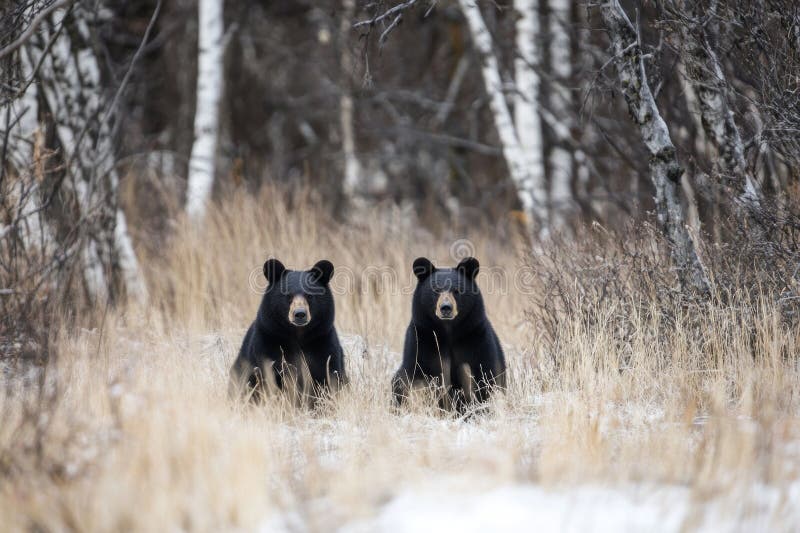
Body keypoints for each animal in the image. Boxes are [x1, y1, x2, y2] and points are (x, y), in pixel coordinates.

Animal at [229, 258, 346, 404]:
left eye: (309, 295)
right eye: (288, 295)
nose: (300, 314)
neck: (298, 336)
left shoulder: (323, 341)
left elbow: (328, 375)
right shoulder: (267, 344)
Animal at [392, 256, 506, 411]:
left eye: (457, 290)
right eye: (436, 290)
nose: (446, 308)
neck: (448, 331)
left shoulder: (476, 337)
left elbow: (484, 373)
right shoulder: (422, 339)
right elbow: (418, 376)